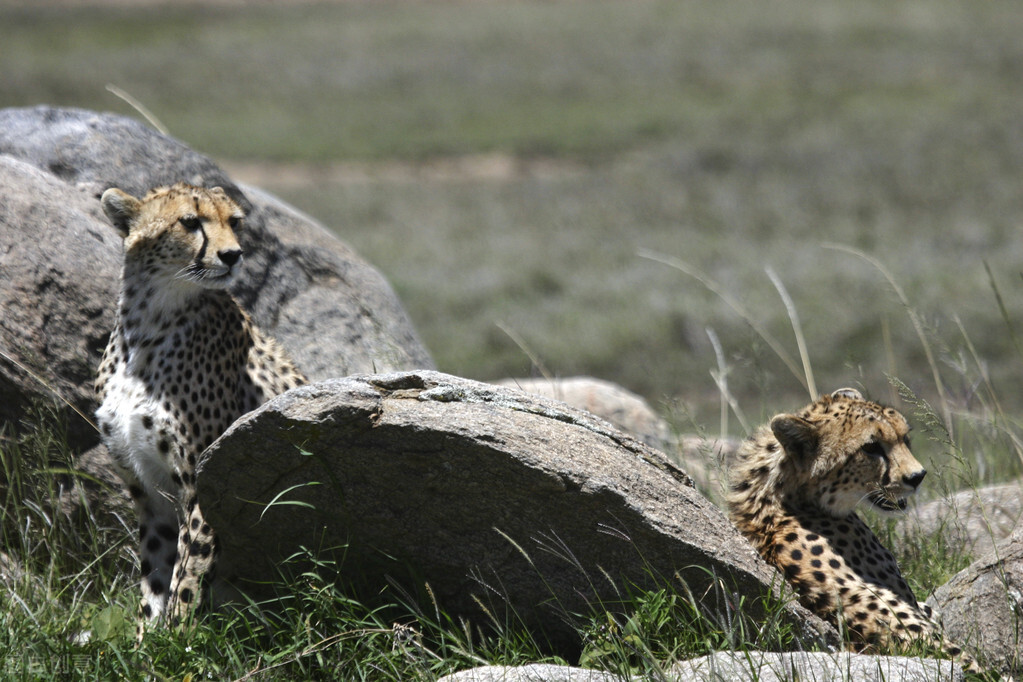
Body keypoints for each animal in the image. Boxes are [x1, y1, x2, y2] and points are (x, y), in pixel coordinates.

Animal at [94, 183, 306, 632]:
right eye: (190, 222)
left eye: (235, 222)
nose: (233, 255)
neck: (149, 324)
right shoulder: (148, 492)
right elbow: (155, 577)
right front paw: (145, 642)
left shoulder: (203, 485)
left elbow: (187, 578)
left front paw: (177, 639)